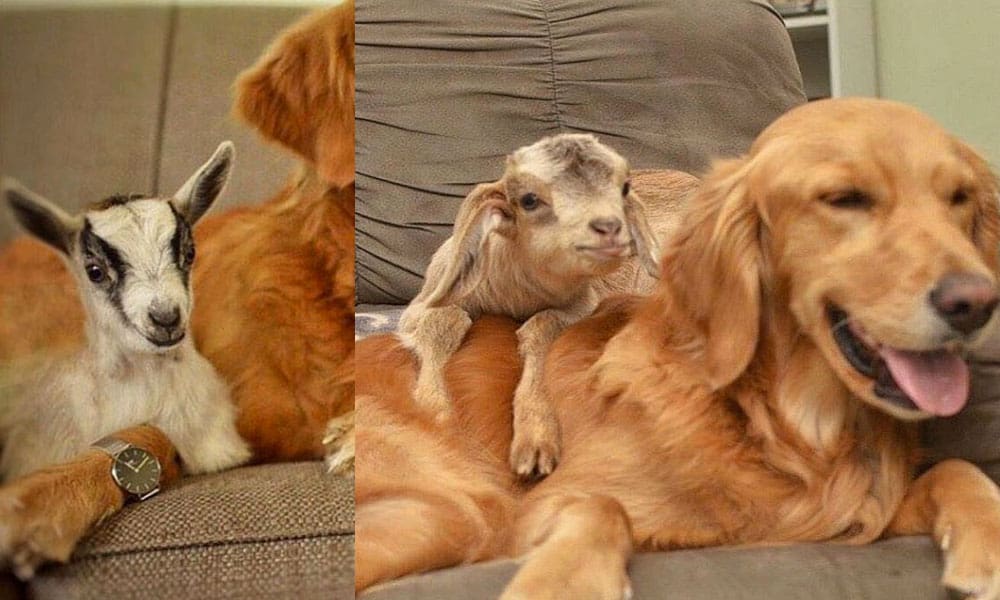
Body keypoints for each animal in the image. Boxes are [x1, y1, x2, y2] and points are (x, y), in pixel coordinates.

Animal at [398, 133, 660, 479]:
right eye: (529, 200)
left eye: (624, 187)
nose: (610, 228)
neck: (518, 293)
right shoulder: (421, 305)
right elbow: (446, 320)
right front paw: (434, 415)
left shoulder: (583, 303)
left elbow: (542, 325)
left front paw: (536, 438)